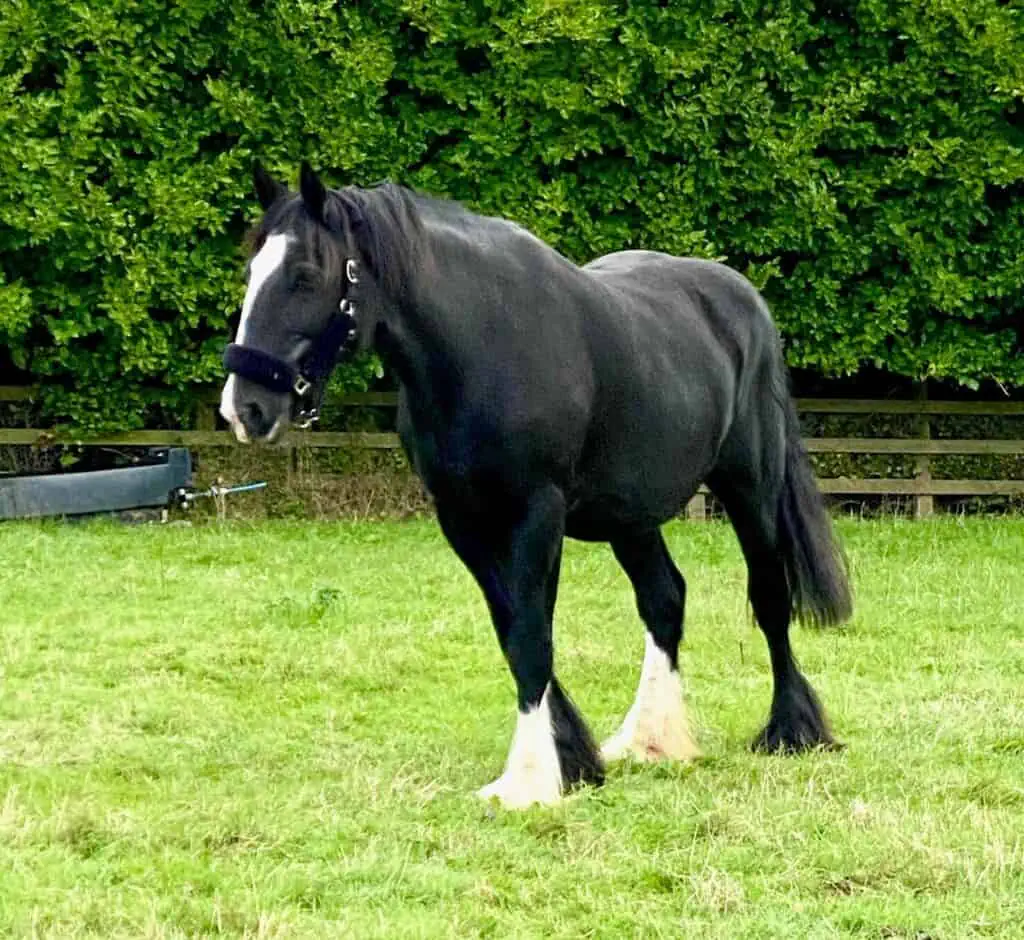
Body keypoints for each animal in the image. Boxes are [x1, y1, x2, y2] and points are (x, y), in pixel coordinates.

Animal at [219, 161, 853, 809]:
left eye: (304, 275)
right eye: (251, 271)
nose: (244, 409)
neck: (480, 348)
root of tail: (744, 300)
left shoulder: (537, 514)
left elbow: (530, 637)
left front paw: (528, 780)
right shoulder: (462, 521)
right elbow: (514, 630)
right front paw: (572, 757)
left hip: (750, 486)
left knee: (770, 598)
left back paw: (791, 731)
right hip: (631, 516)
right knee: (665, 600)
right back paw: (651, 738)